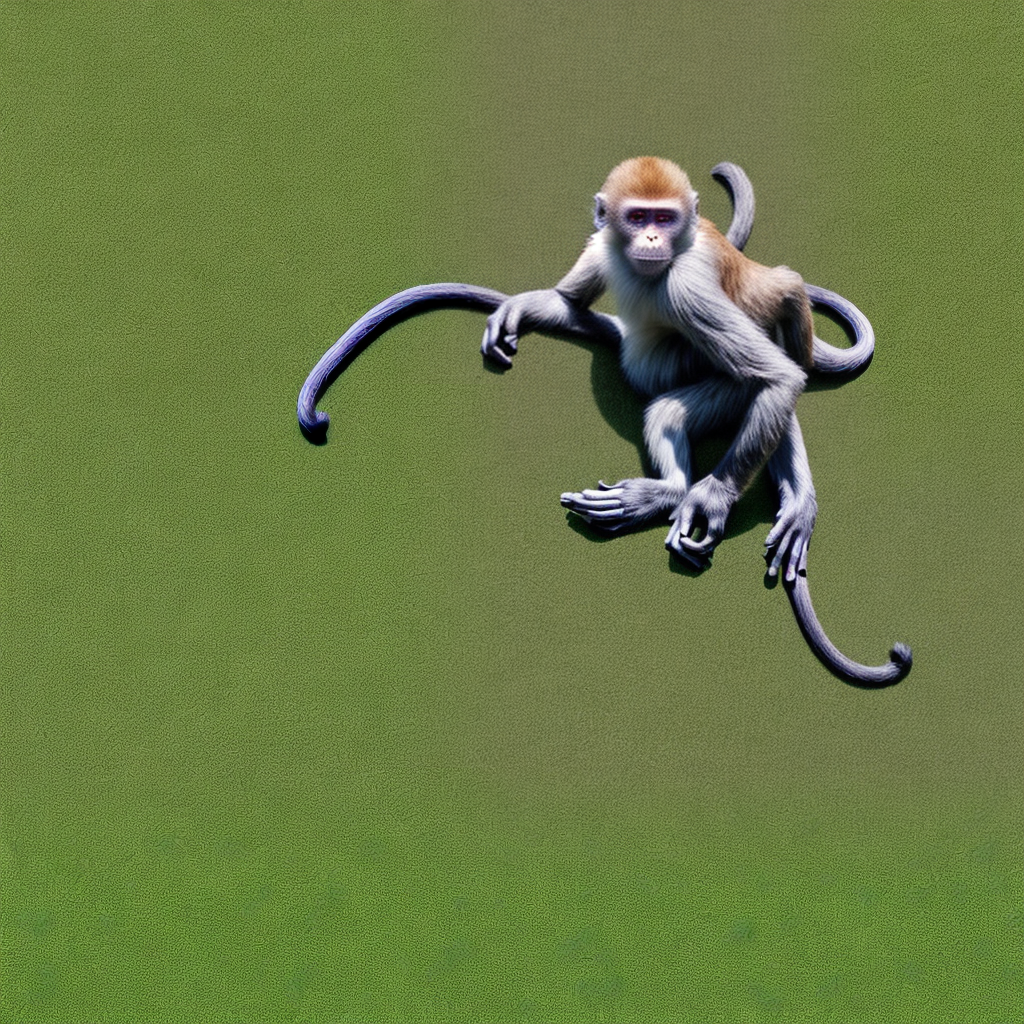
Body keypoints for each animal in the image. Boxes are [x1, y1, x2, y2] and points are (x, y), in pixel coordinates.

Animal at [297, 161, 911, 687]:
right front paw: (520, 308)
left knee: (749, 354)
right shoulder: (601, 245)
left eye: (663, 219)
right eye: (637, 217)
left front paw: (710, 501)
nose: (652, 241)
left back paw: (686, 493)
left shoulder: (688, 288)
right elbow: (569, 301)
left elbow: (778, 376)